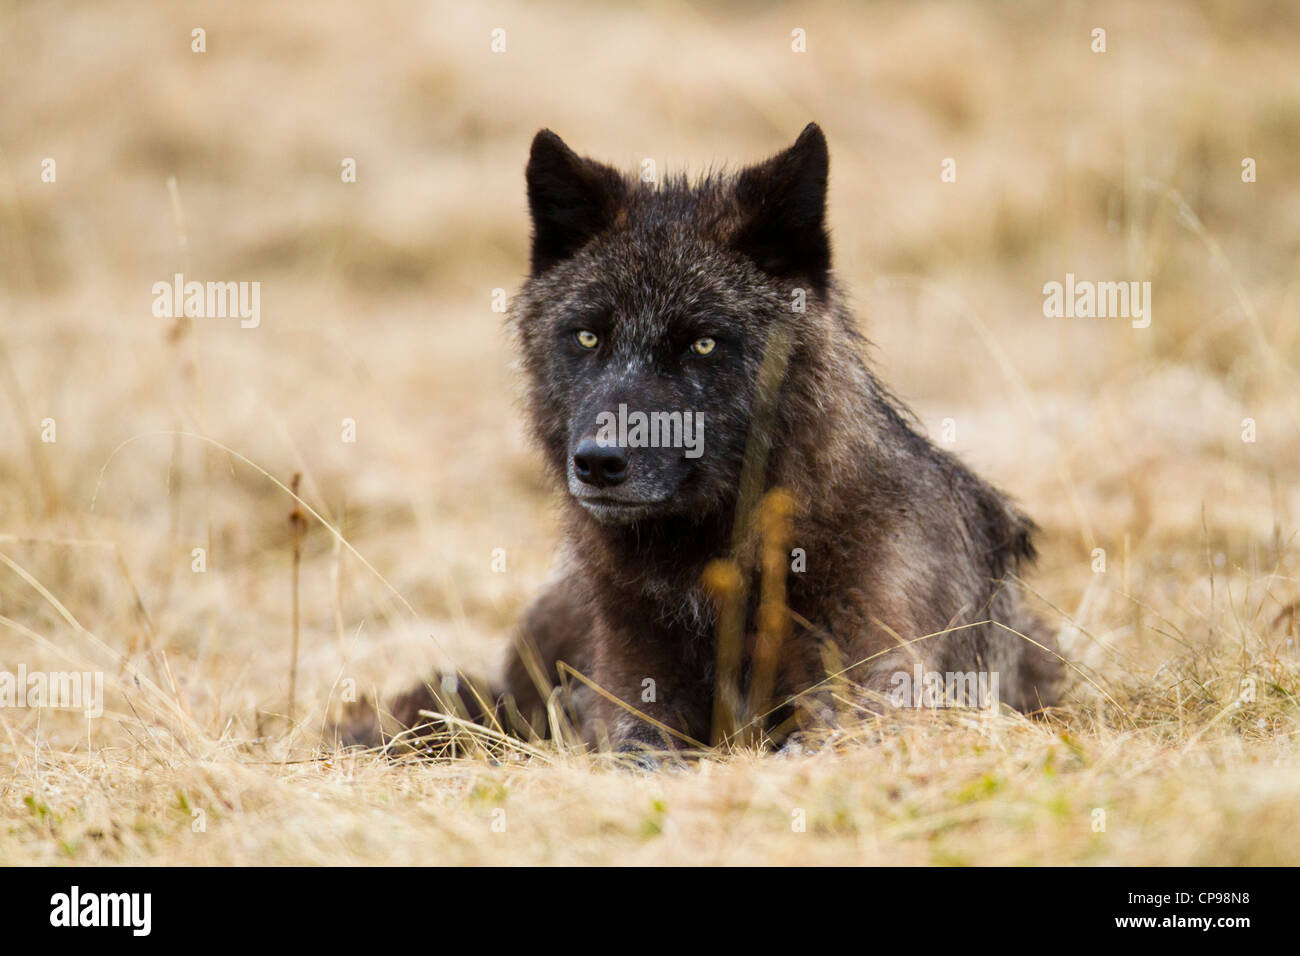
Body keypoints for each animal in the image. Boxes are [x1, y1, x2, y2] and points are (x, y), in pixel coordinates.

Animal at [336, 123, 1061, 755]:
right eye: (588, 336)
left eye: (703, 344)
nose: (598, 462)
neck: (715, 571)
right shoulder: (631, 697)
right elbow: (639, 747)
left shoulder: (877, 689)